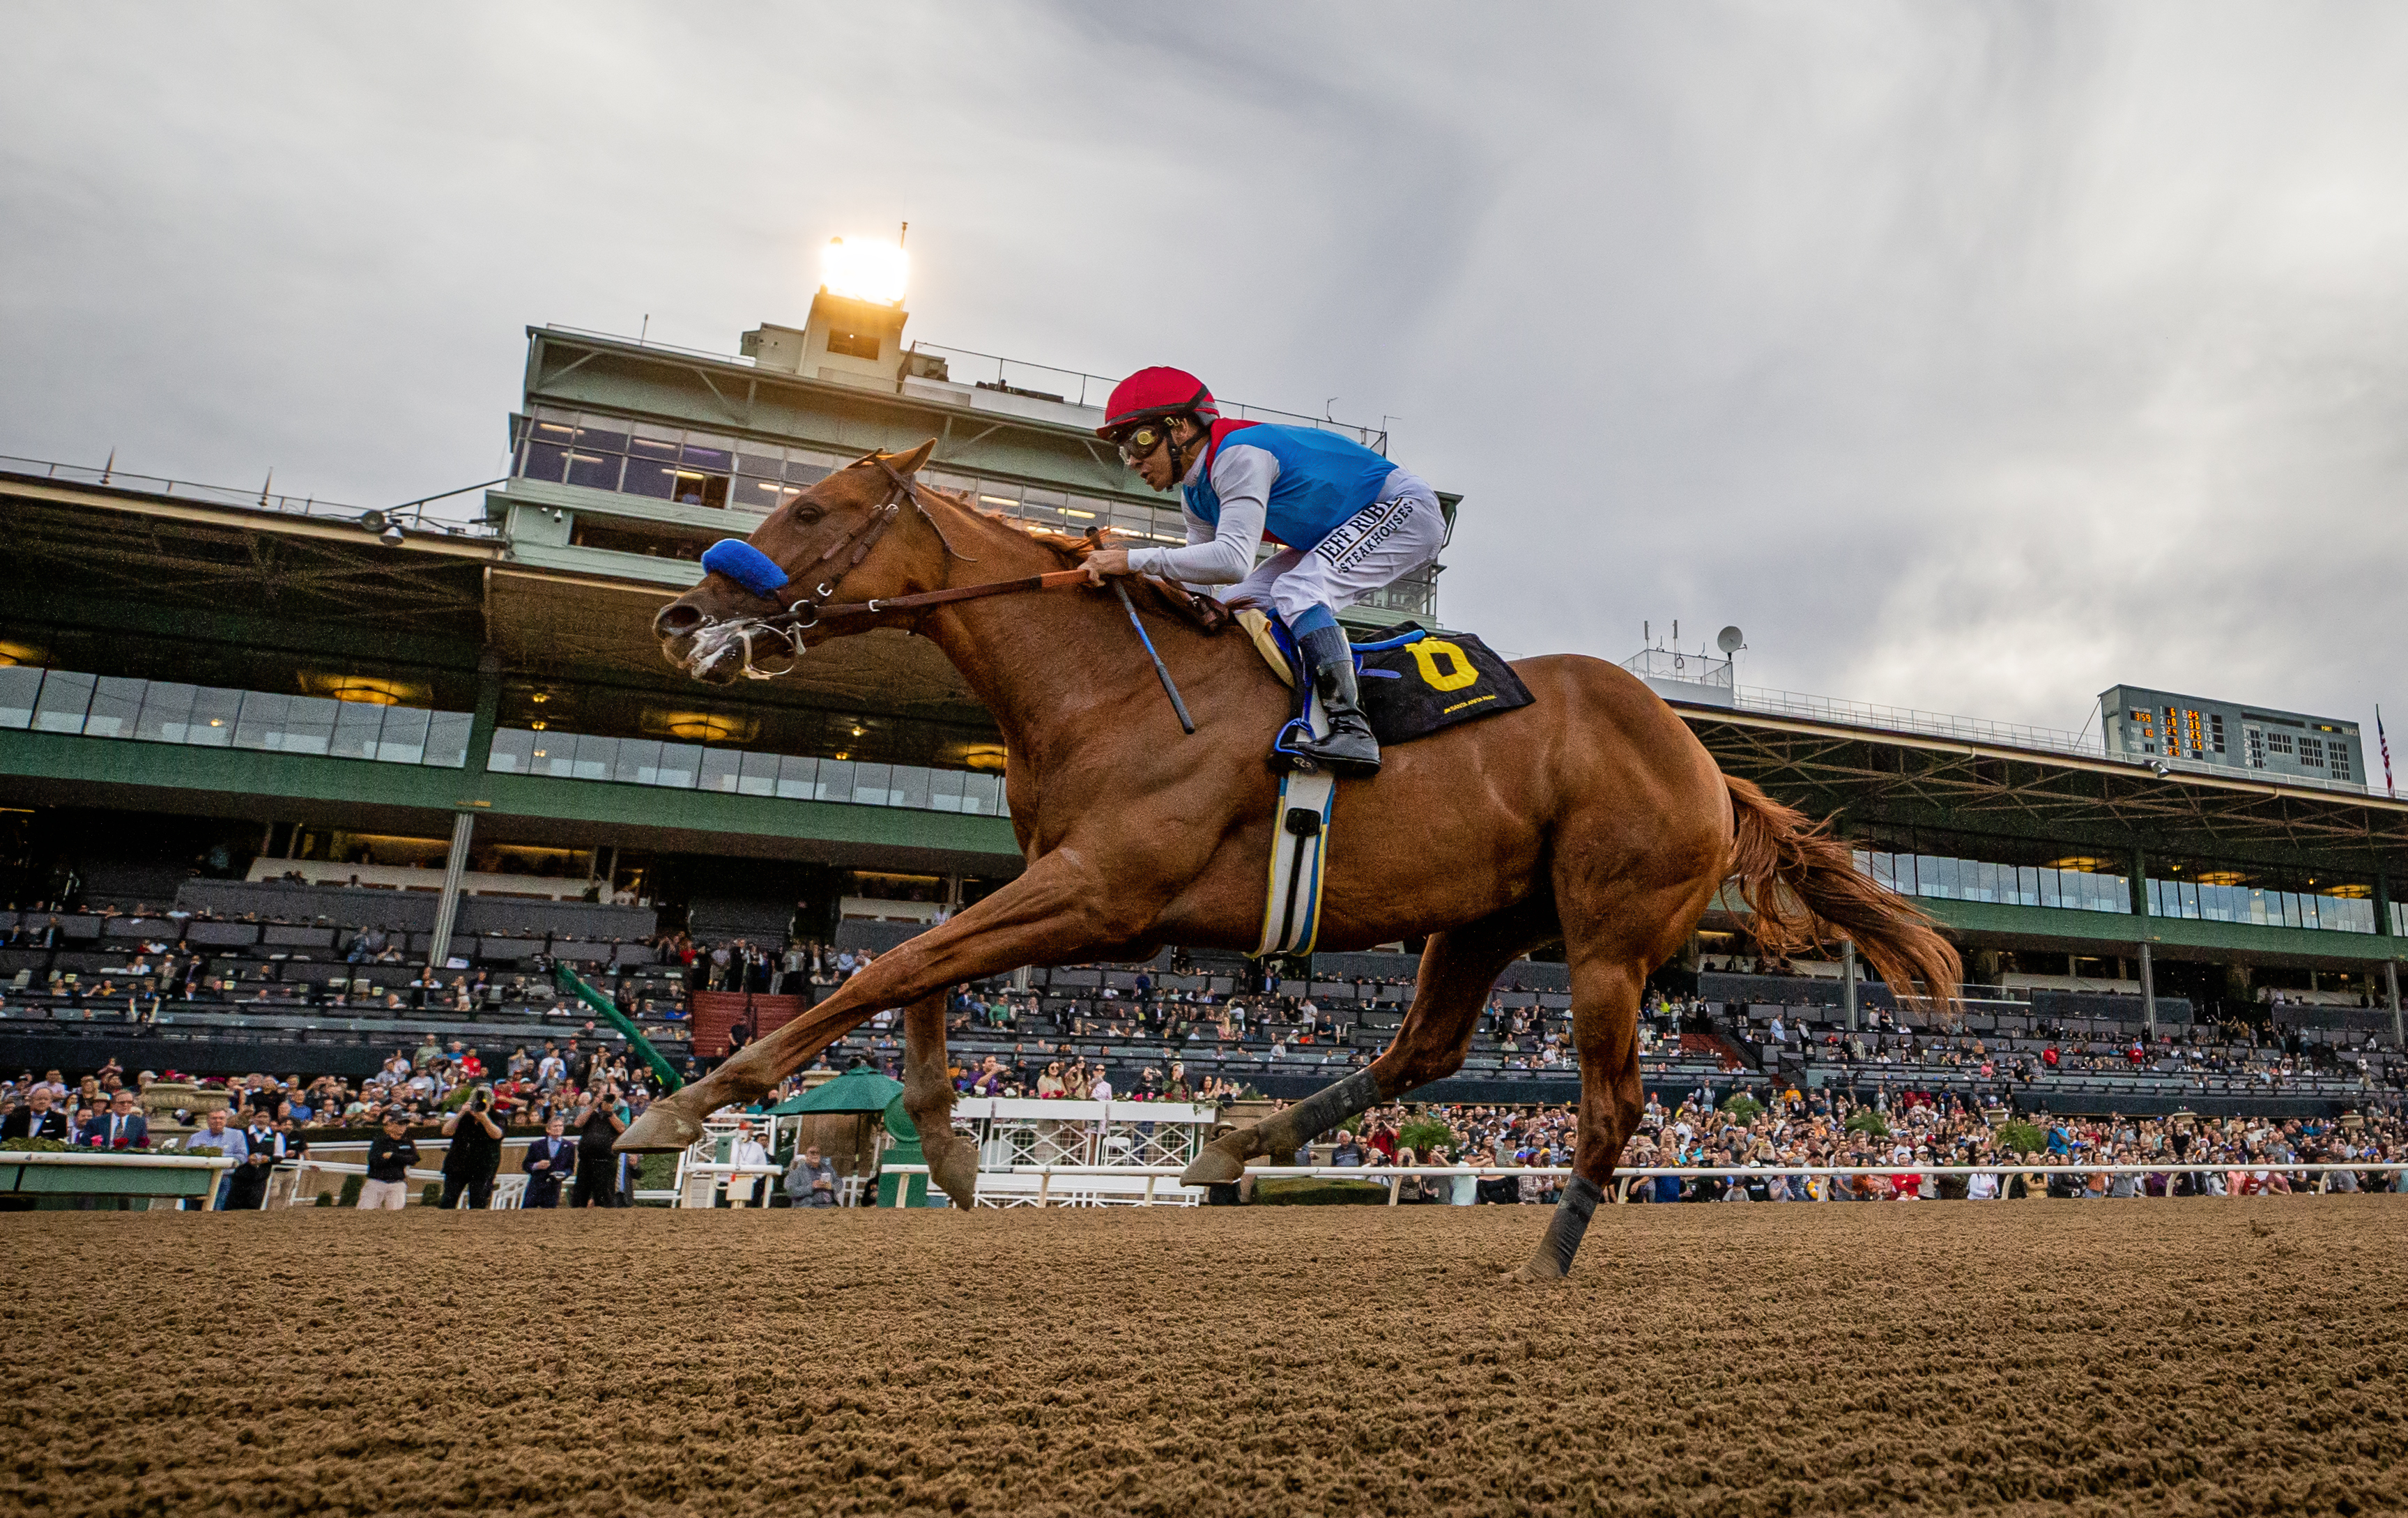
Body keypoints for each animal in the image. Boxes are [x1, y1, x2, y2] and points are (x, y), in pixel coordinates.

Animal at [628, 441, 1959, 1279]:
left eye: (805, 510)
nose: (682, 617)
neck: (1106, 683)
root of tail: (1702, 757)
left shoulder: (1099, 890)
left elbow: (886, 968)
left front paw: (687, 1099)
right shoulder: (1053, 879)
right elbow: (919, 972)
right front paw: (950, 1142)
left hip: (1607, 937)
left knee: (1612, 1103)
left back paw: (1544, 1256)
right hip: (1481, 916)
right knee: (1425, 1048)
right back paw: (1241, 1142)